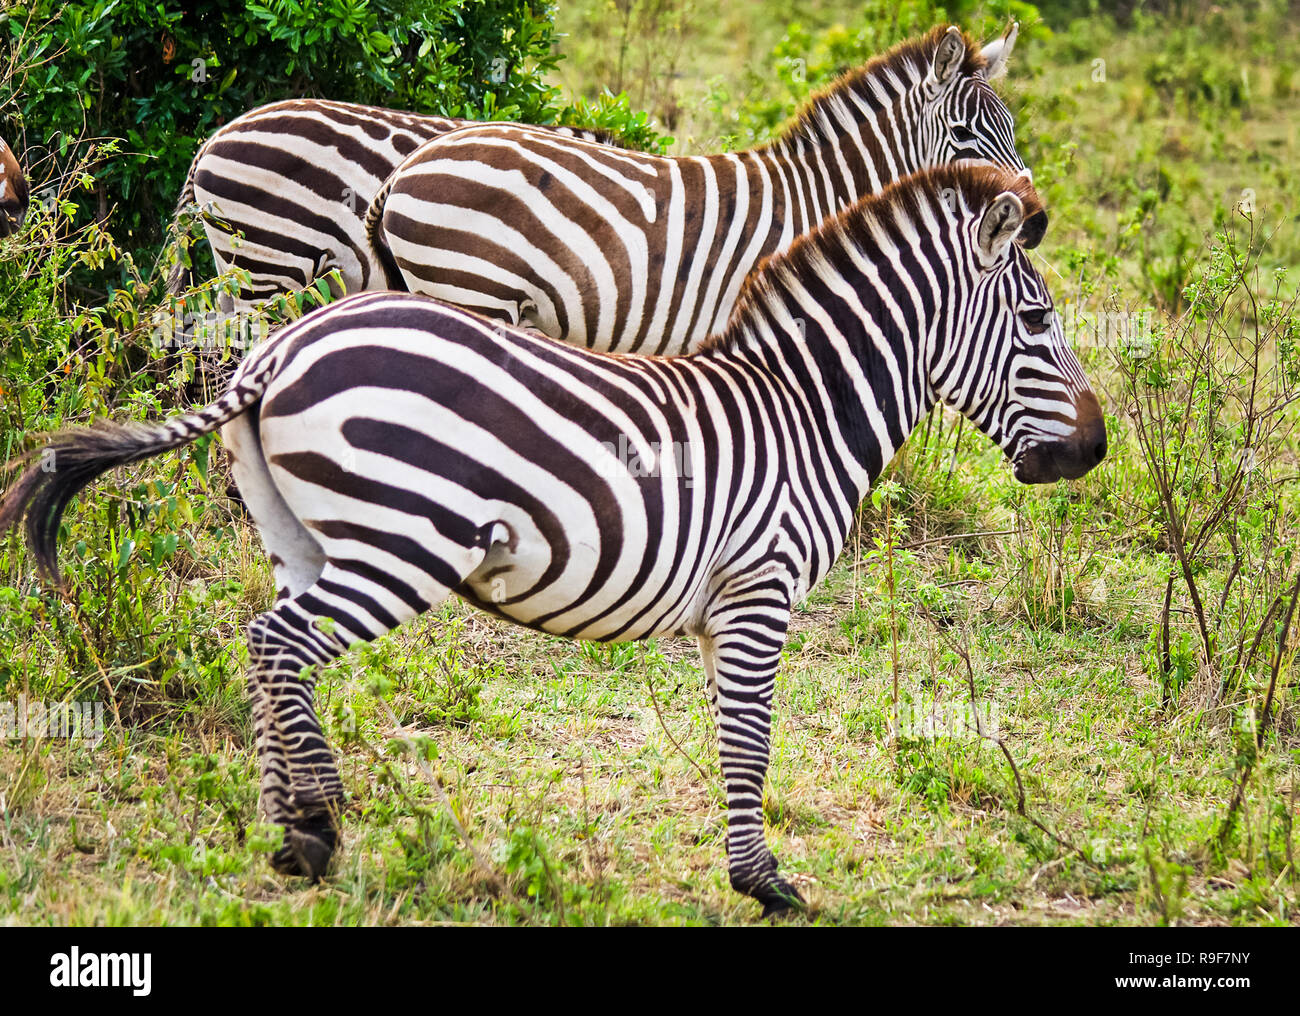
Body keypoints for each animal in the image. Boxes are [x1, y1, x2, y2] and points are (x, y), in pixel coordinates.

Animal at [0, 163, 1105, 914]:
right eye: (1038, 319)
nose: (1093, 449)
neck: (802, 410)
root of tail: (276, 352)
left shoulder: (721, 608)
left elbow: (729, 734)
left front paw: (748, 867)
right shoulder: (760, 587)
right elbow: (751, 738)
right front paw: (763, 880)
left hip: (299, 531)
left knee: (266, 647)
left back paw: (290, 836)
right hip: (402, 539)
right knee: (282, 644)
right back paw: (313, 831)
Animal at [369, 23, 1026, 355]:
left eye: (1014, 129)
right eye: (964, 133)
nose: (1035, 221)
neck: (820, 197)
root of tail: (410, 166)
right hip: (469, 288)